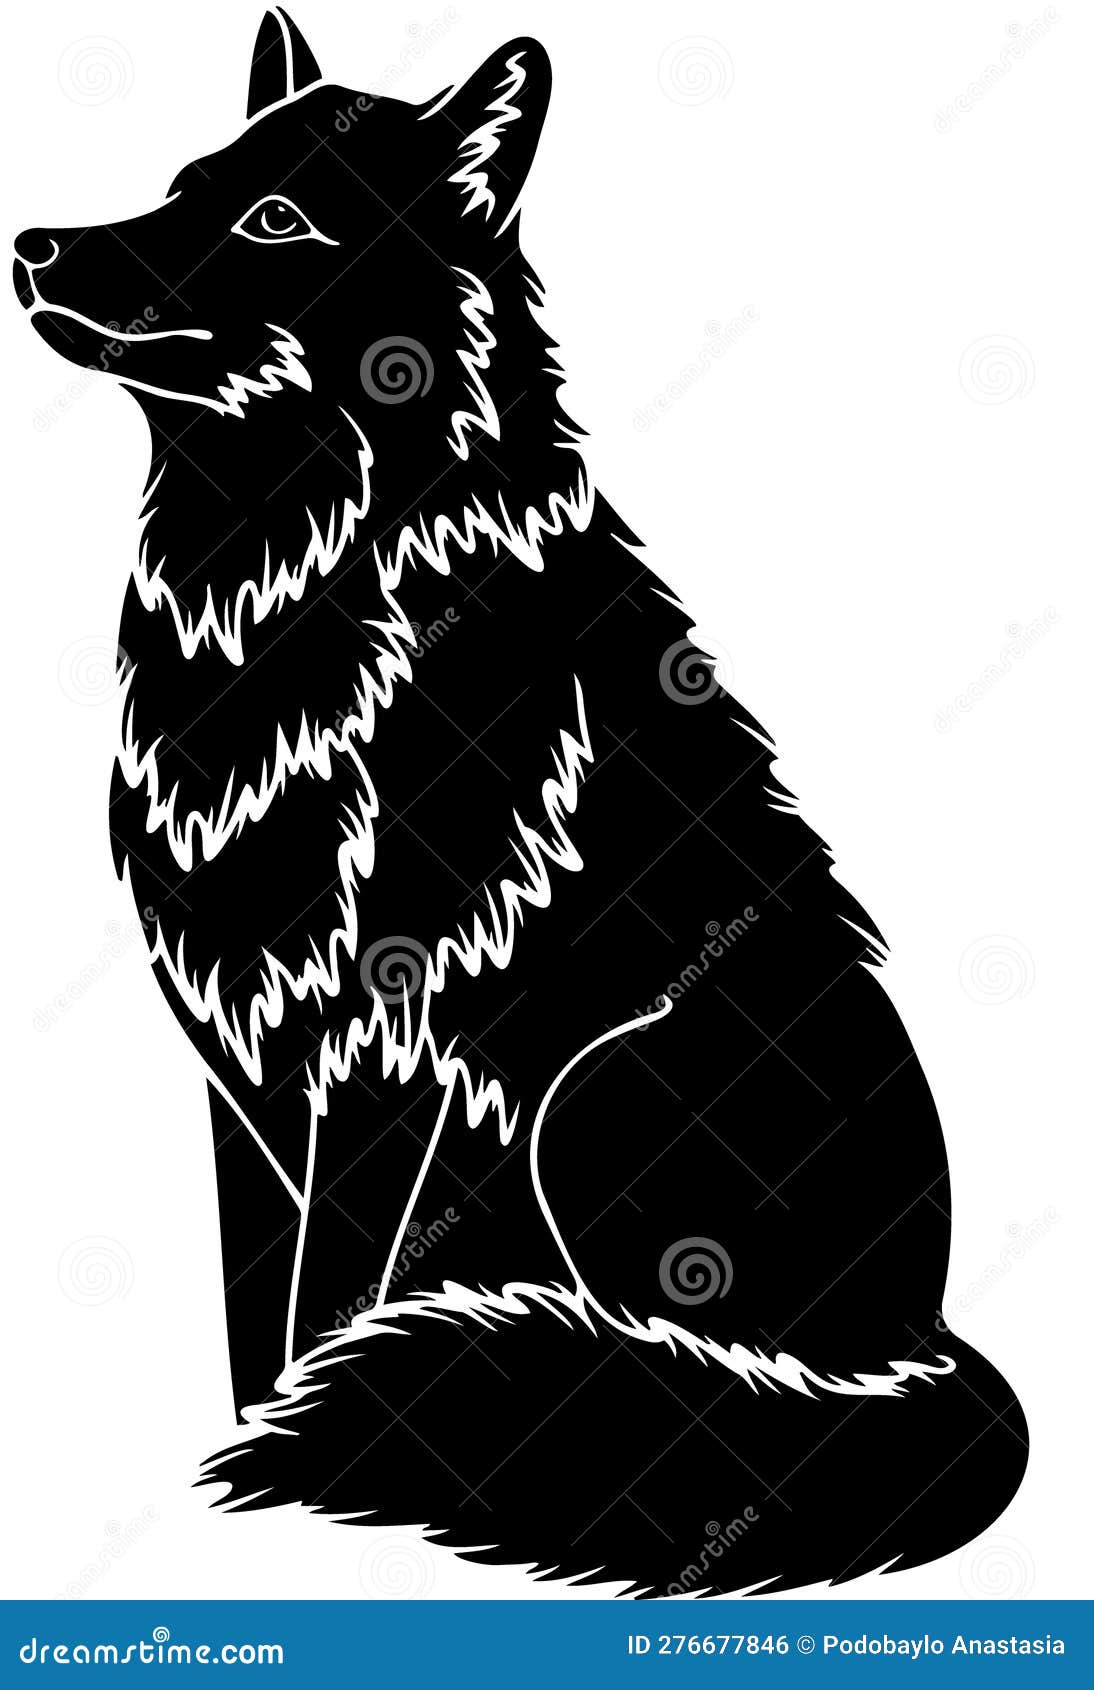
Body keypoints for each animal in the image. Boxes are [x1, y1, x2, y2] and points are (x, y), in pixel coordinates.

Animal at [15, 11, 1027, 1595]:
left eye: (272, 221)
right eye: (179, 186)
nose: (35, 245)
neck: (293, 591)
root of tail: (928, 1347)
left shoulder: (385, 1045)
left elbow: (331, 1299)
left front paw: (285, 1463)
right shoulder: (246, 1068)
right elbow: (259, 1316)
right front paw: (245, 1454)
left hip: (590, 1093)